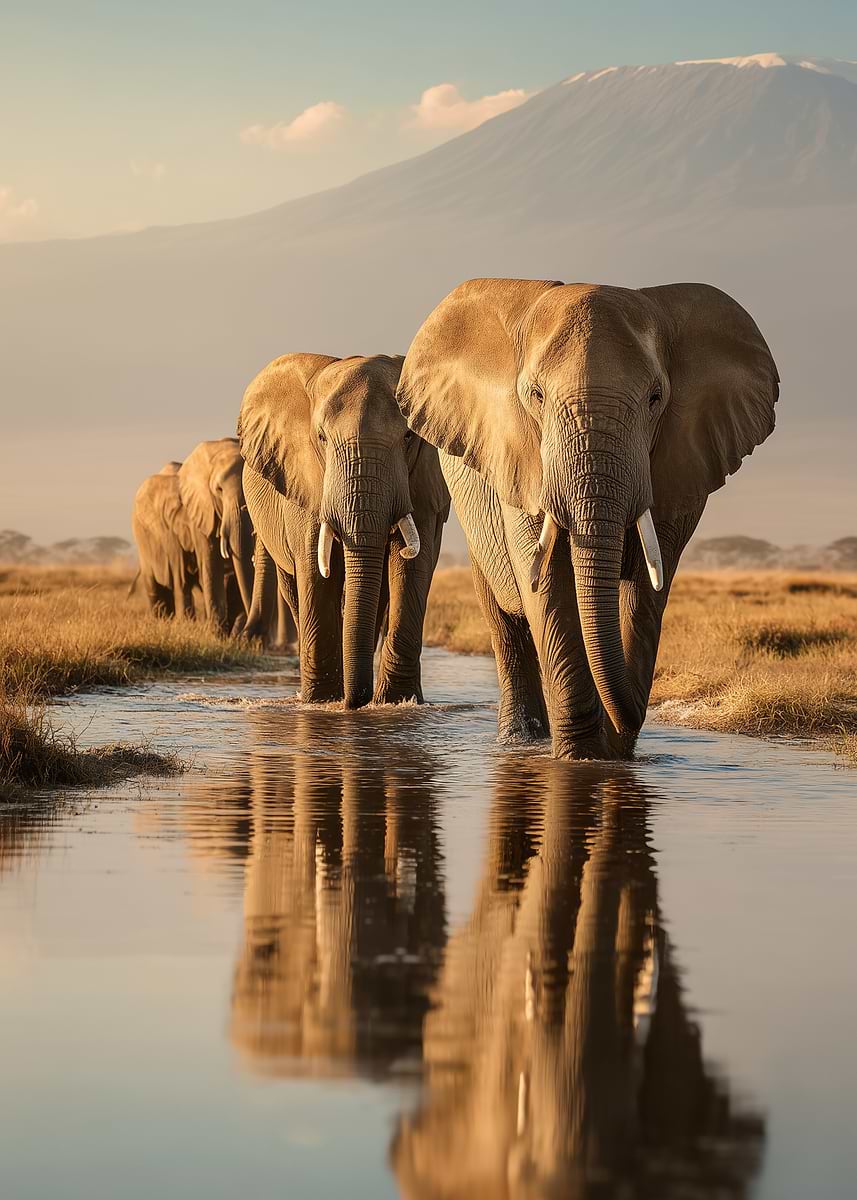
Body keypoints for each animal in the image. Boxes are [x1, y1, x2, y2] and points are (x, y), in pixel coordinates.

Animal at [238, 353, 450, 707]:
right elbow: (314, 568)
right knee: (294, 587)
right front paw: (321, 703)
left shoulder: (424, 480)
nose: (356, 702)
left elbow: (413, 568)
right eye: (322, 438)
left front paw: (398, 702)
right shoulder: (305, 479)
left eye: (409, 437)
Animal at [397, 279, 778, 759]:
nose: (618, 732)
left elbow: (647, 590)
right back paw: (521, 741)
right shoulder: (520, 463)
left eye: (656, 398)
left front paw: (614, 754)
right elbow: (548, 582)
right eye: (536, 396)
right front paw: (582, 757)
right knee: (505, 622)